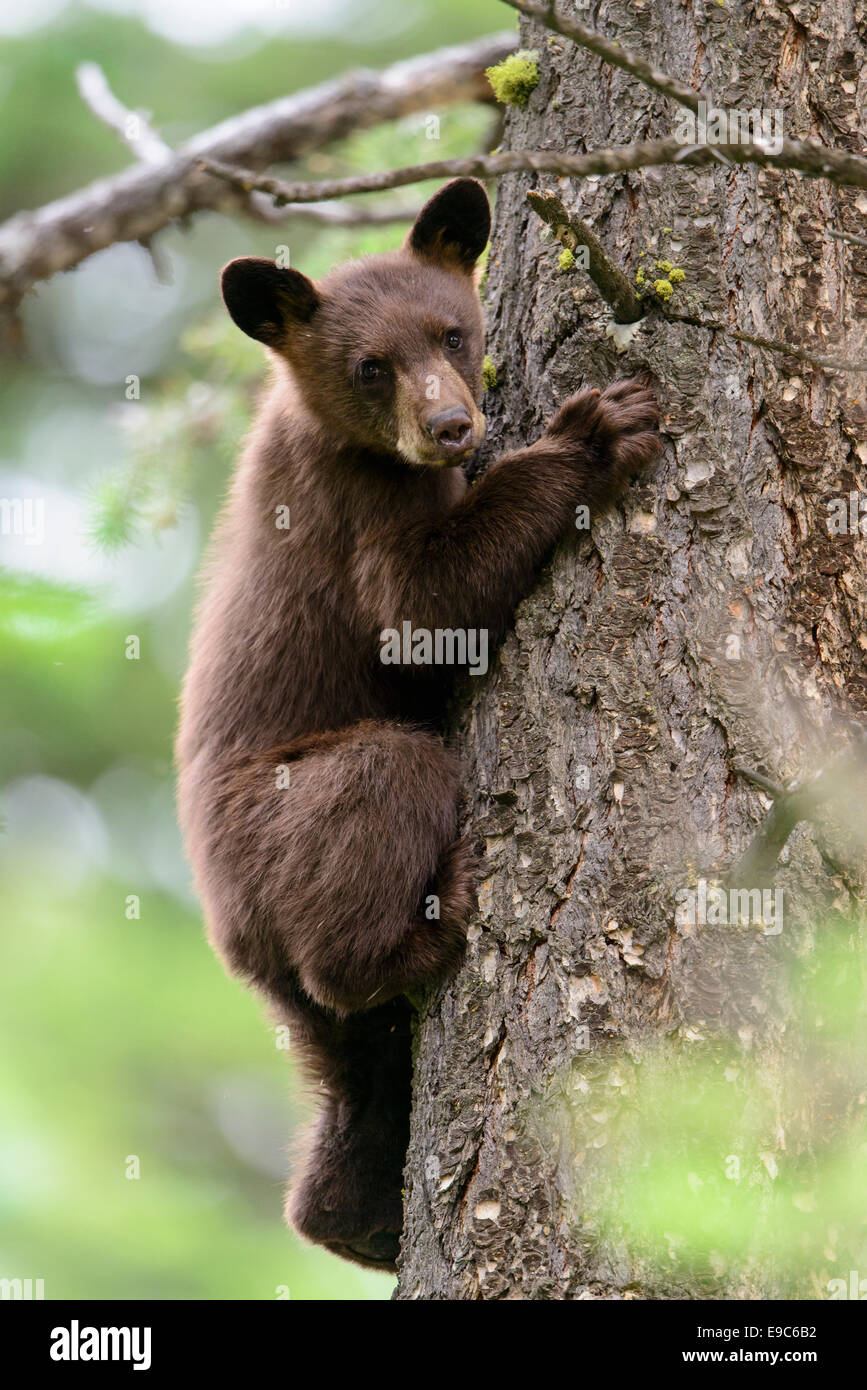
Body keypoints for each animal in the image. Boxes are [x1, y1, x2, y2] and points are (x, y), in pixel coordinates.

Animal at [176, 177, 661, 1273]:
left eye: (452, 331)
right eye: (369, 365)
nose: (448, 424)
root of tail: (230, 930)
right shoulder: (355, 505)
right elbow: (422, 607)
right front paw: (593, 432)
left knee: (351, 1065)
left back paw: (354, 1215)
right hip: (279, 813)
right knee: (381, 796)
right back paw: (437, 922)